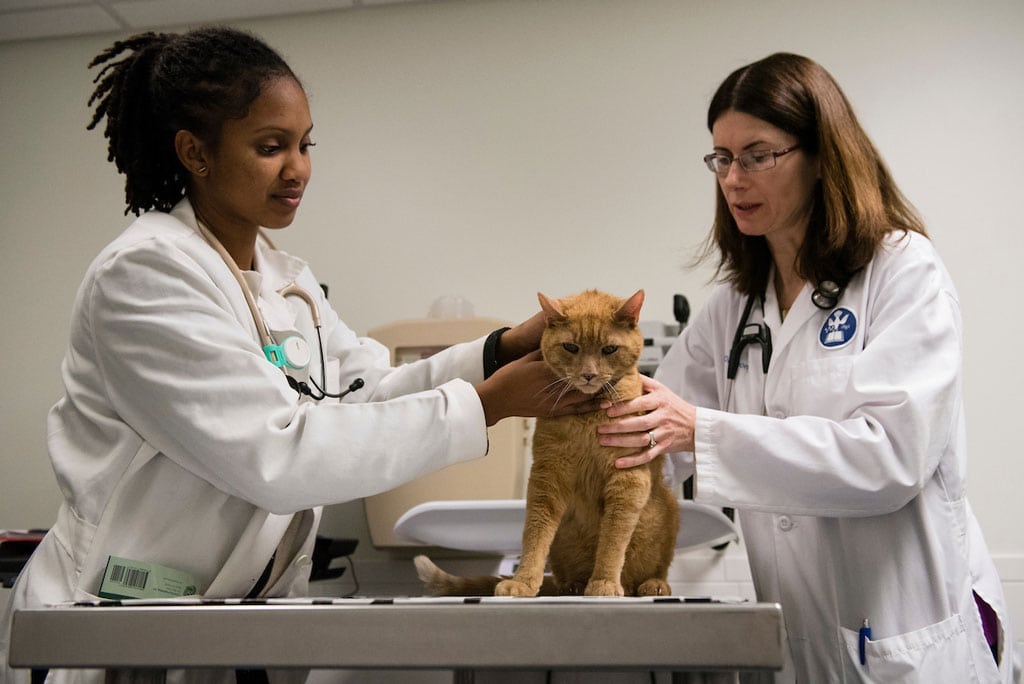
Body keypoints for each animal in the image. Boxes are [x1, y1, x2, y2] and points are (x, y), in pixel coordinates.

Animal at [415, 286, 679, 593]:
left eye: (609, 349)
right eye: (571, 347)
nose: (588, 374)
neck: (589, 418)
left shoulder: (627, 479)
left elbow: (613, 540)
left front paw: (603, 582)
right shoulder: (548, 473)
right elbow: (535, 534)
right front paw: (522, 582)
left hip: (668, 512)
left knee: (656, 569)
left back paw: (651, 584)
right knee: (563, 574)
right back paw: (573, 585)